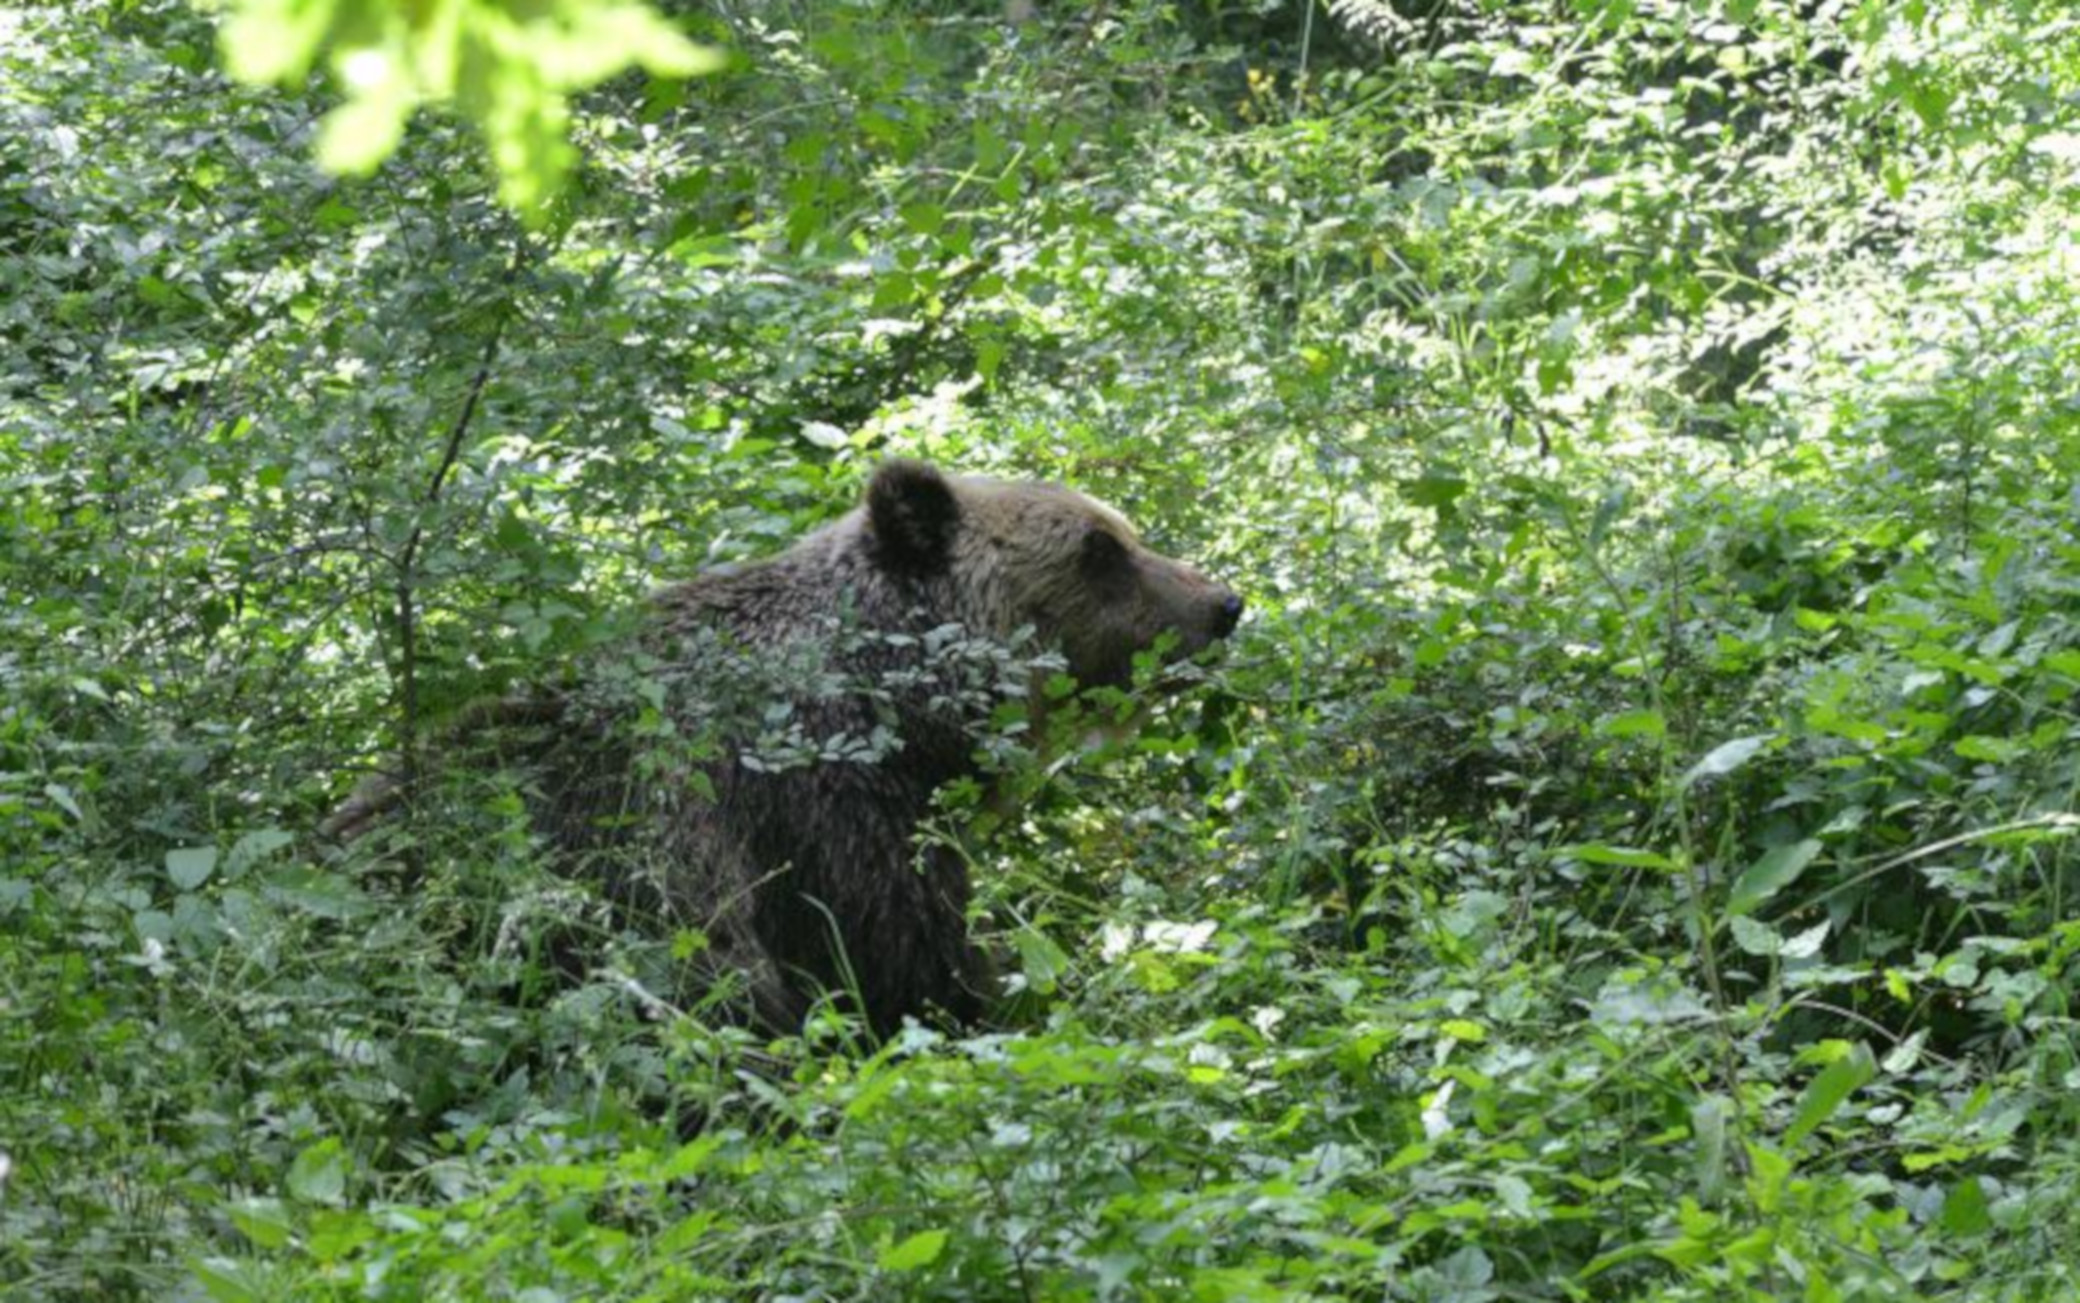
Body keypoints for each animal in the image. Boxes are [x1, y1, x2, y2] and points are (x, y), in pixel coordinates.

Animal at [329, 459, 1242, 1036]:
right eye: (1099, 549)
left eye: (1121, 529)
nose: (1223, 602)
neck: (895, 701)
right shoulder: (820, 810)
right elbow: (906, 956)